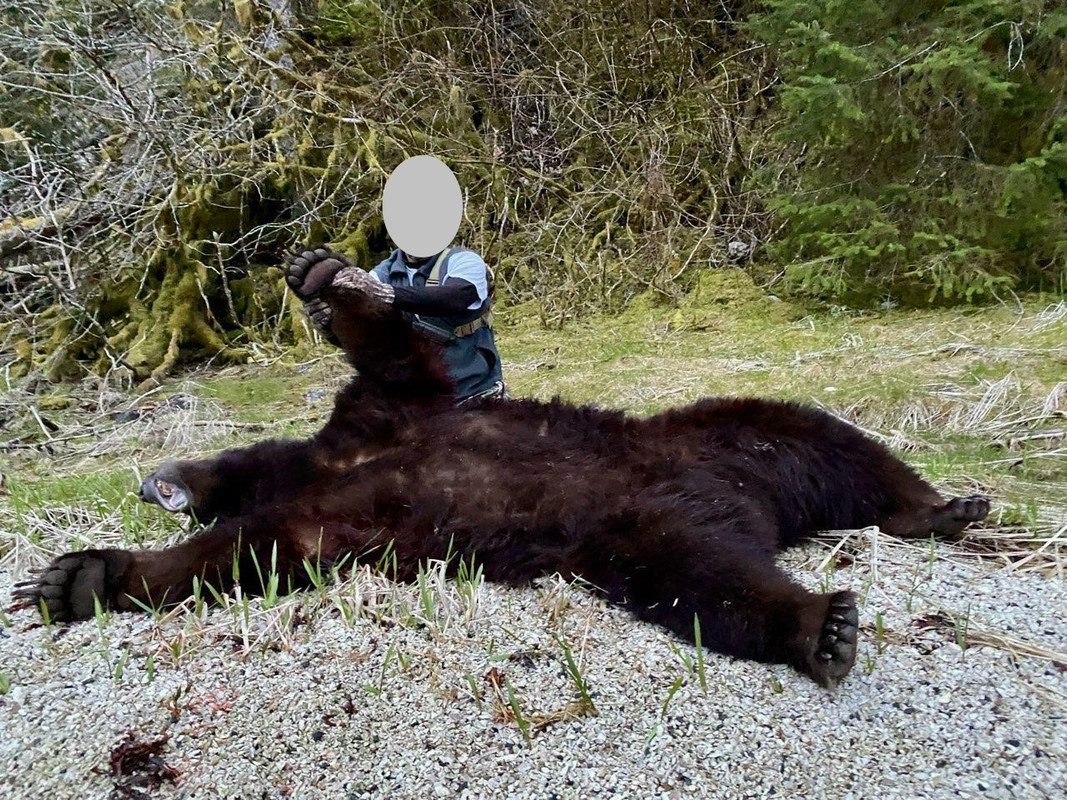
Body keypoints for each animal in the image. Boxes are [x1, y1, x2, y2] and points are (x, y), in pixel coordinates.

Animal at [15, 250, 990, 688]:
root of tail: (749, 499)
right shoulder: (347, 500)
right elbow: (240, 550)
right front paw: (89, 571)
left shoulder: (390, 422)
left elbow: (397, 357)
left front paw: (327, 279)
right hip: (641, 531)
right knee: (713, 581)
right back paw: (819, 624)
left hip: (724, 436)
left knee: (832, 443)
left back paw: (935, 510)